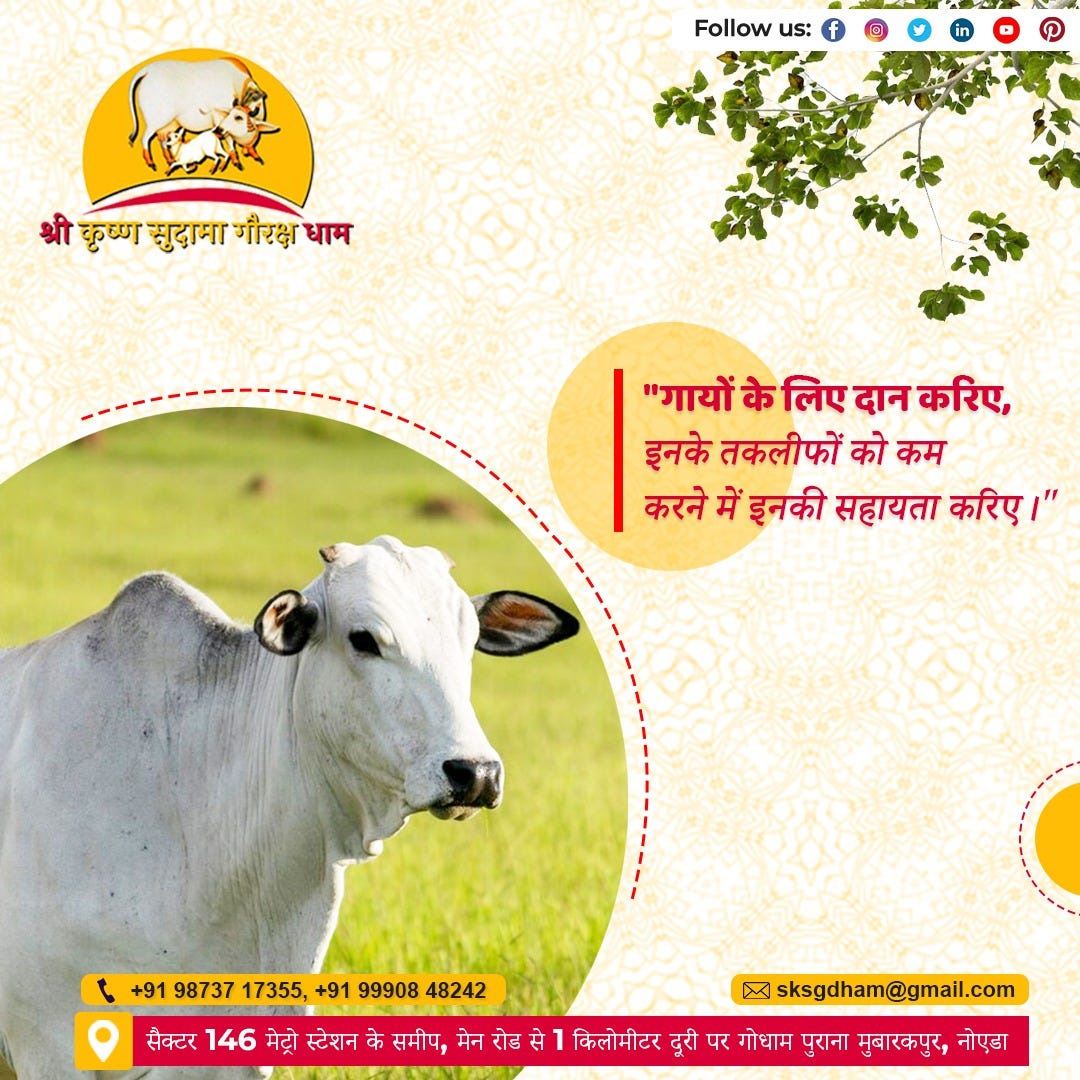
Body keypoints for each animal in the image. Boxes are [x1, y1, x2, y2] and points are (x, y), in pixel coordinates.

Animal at [128, 57, 270, 170]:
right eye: (238, 118)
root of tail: (147, 70)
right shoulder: (220, 120)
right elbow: (229, 140)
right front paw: (237, 161)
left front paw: (255, 156)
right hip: (156, 120)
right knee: (145, 138)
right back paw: (151, 163)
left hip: (171, 122)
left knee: (162, 137)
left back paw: (170, 160)